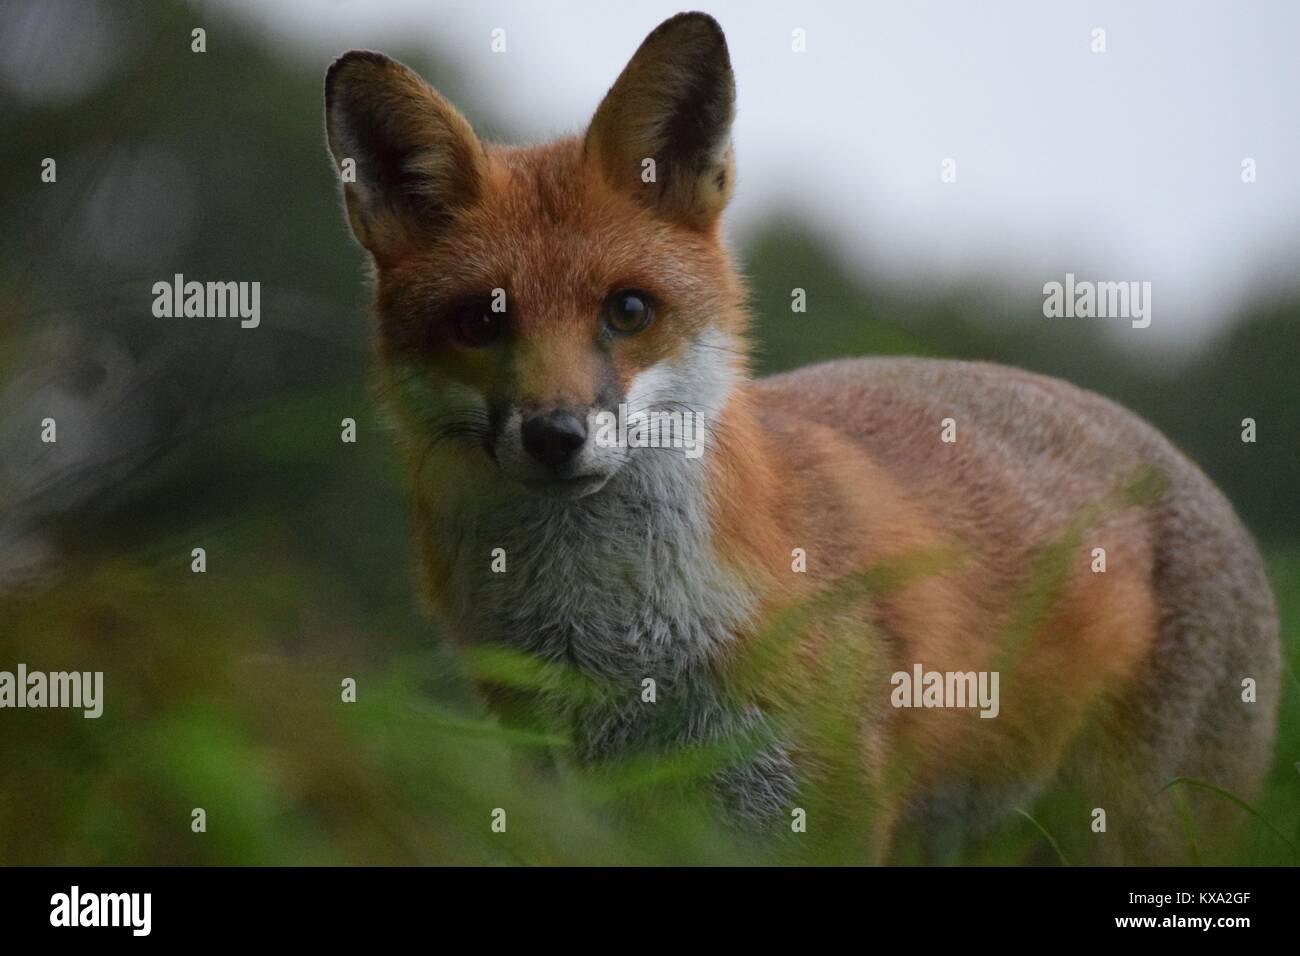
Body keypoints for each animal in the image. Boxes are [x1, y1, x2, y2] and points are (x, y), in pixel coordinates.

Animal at [323, 12, 1280, 863]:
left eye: (628, 311)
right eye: (480, 323)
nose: (556, 434)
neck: (617, 649)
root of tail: (1172, 454)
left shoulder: (816, 813)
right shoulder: (583, 809)